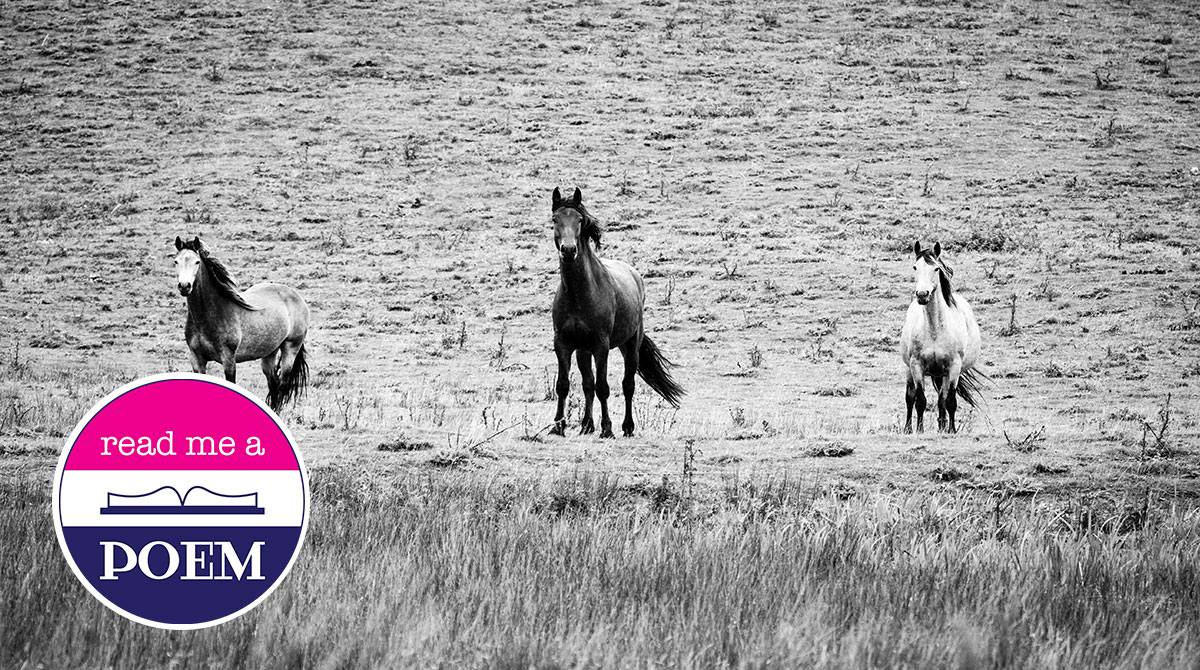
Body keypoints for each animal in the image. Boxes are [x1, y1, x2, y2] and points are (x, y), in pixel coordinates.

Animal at [173, 236, 310, 413]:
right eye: (176, 261)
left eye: (197, 262)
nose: (184, 286)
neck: (208, 316)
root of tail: (295, 296)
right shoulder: (196, 358)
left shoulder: (229, 358)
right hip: (269, 352)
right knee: (273, 384)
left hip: (290, 348)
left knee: (282, 385)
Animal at [549, 187, 684, 438]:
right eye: (554, 219)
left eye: (579, 220)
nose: (569, 250)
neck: (579, 294)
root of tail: (634, 273)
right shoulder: (562, 343)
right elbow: (563, 385)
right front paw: (557, 427)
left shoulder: (602, 345)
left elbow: (603, 387)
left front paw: (607, 428)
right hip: (583, 350)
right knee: (588, 384)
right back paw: (586, 425)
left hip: (630, 345)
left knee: (627, 384)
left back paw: (627, 427)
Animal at [899, 241, 985, 433]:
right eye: (915, 267)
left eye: (936, 268)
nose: (922, 295)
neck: (935, 330)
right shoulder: (916, 366)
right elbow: (920, 401)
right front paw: (920, 430)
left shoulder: (954, 368)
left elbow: (950, 402)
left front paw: (951, 430)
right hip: (910, 369)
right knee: (910, 398)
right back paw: (908, 428)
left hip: (944, 374)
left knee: (942, 400)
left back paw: (942, 427)